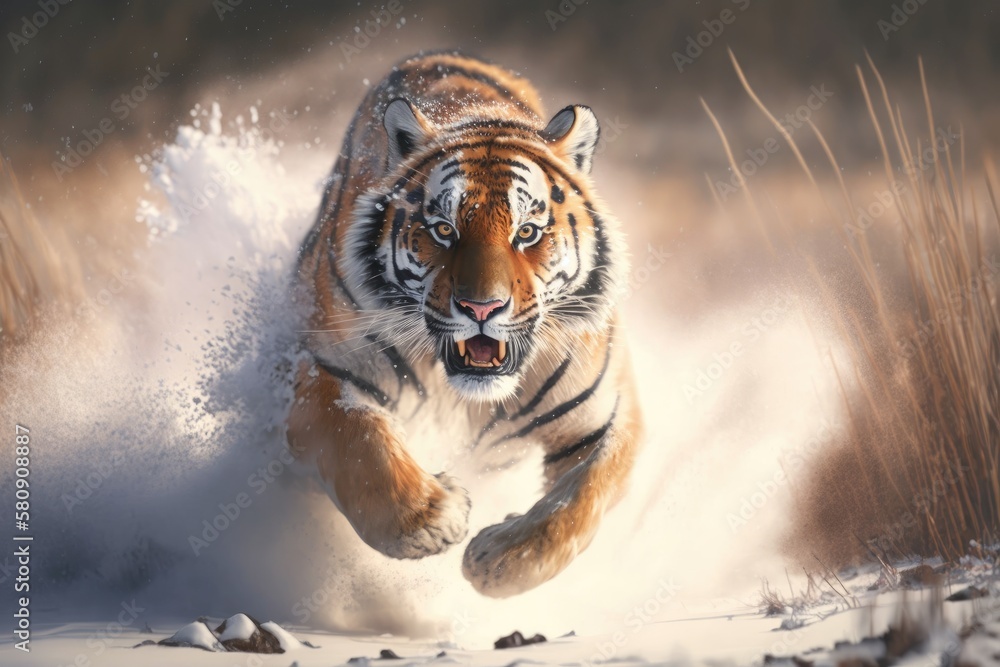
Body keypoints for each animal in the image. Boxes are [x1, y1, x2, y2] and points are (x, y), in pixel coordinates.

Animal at [286, 51, 642, 598]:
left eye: (527, 232)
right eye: (443, 230)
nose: (481, 308)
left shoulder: (601, 413)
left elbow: (581, 500)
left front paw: (497, 560)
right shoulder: (325, 366)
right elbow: (358, 440)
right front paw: (435, 517)